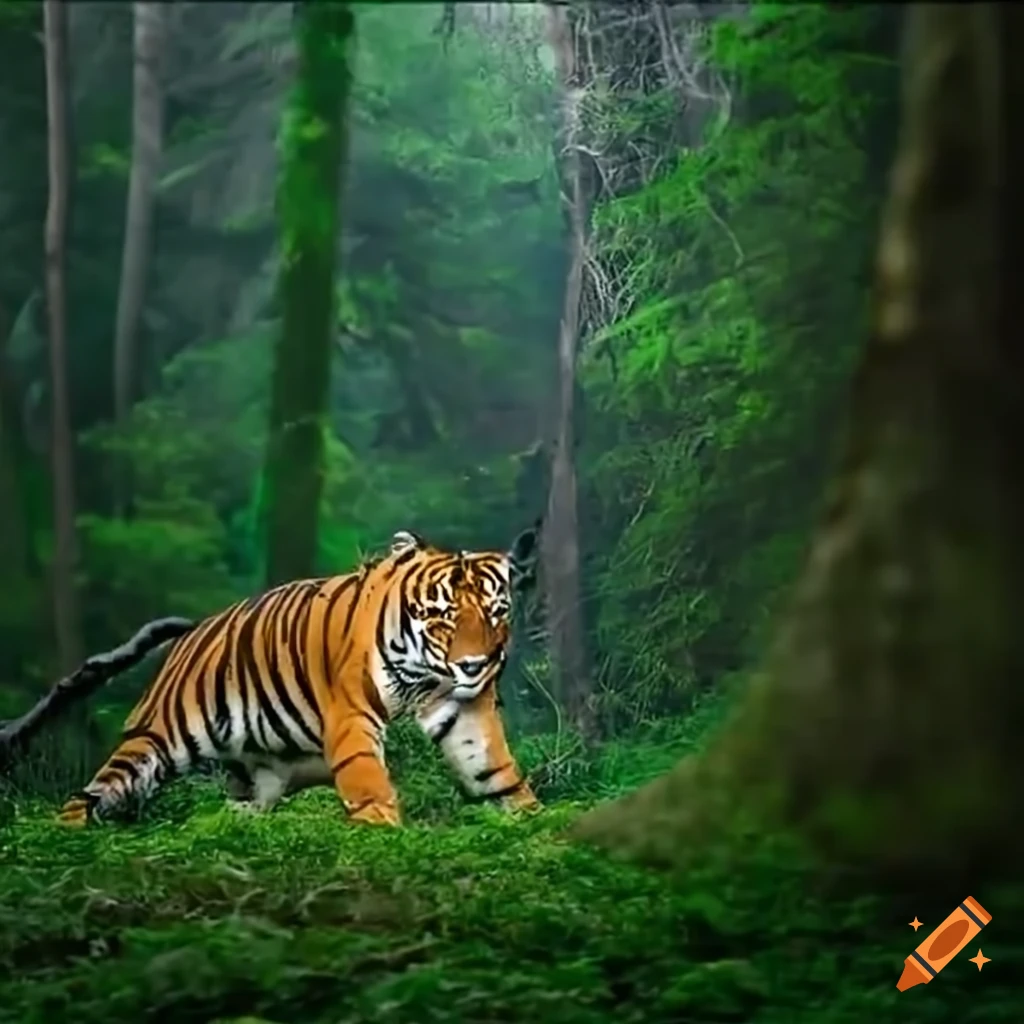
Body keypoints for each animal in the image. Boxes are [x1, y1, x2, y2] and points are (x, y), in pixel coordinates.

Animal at [0, 524, 543, 827]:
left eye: (496, 612)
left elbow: (495, 771)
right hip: (154, 740)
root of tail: (194, 630)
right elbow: (366, 777)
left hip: (264, 770)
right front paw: (383, 831)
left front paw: (534, 822)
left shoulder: (465, 710)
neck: (427, 673)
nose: (475, 665)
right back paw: (66, 834)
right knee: (93, 792)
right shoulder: (352, 715)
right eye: (444, 616)